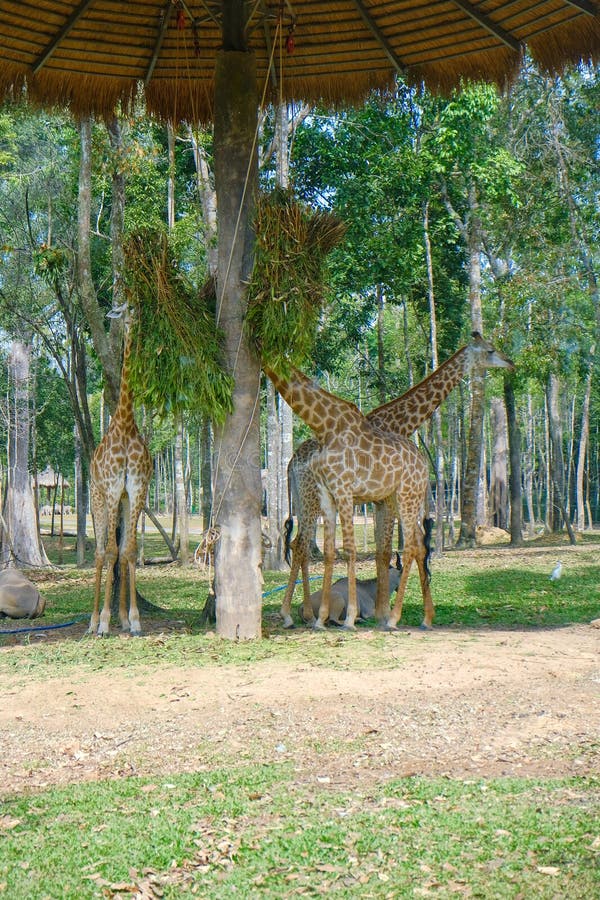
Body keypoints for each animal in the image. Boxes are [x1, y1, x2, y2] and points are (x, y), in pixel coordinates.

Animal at [263, 364, 434, 631]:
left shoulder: (354, 493)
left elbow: (357, 550)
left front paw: (358, 616)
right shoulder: (335, 494)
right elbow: (340, 550)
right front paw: (334, 618)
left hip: (406, 495)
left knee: (413, 546)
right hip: (398, 498)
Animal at [281, 333, 514, 626]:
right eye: (490, 350)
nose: (510, 363)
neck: (401, 422)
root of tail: (291, 463)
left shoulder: (381, 499)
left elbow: (387, 551)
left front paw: (384, 611)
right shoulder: (386, 498)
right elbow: (385, 552)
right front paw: (383, 612)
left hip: (305, 502)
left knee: (298, 544)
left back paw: (303, 613)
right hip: (312, 498)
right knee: (302, 545)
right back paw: (299, 614)